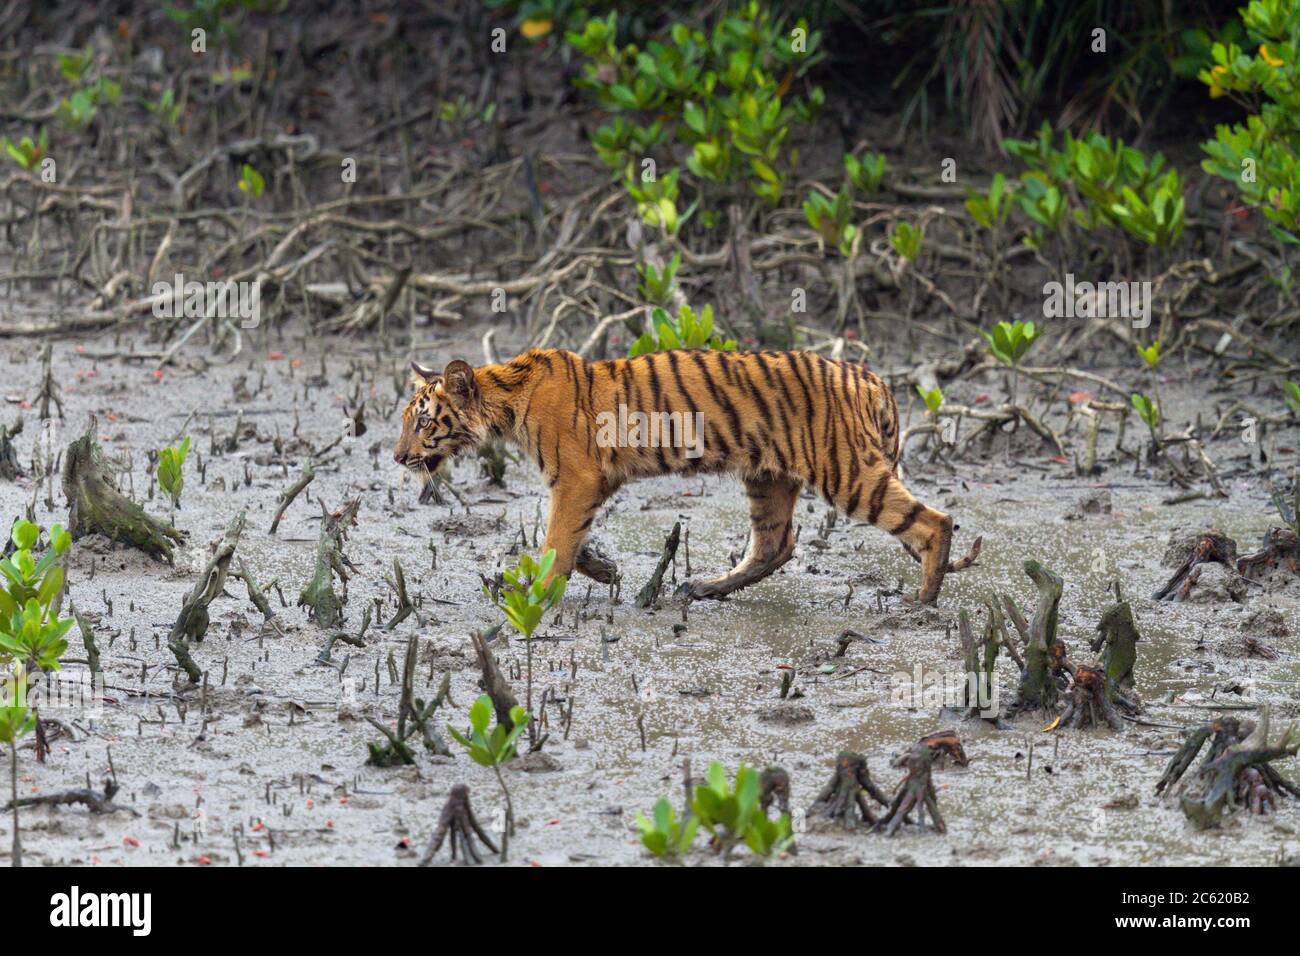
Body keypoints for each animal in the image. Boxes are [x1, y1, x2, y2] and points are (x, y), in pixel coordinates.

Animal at [393, 348, 959, 604]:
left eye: (423, 422)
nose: (398, 458)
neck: (506, 400)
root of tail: (873, 378)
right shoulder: (589, 484)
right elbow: (571, 540)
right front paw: (603, 569)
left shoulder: (577, 479)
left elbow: (557, 538)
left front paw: (537, 594)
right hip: (767, 476)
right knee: (776, 543)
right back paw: (704, 586)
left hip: (847, 471)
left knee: (934, 521)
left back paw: (922, 602)